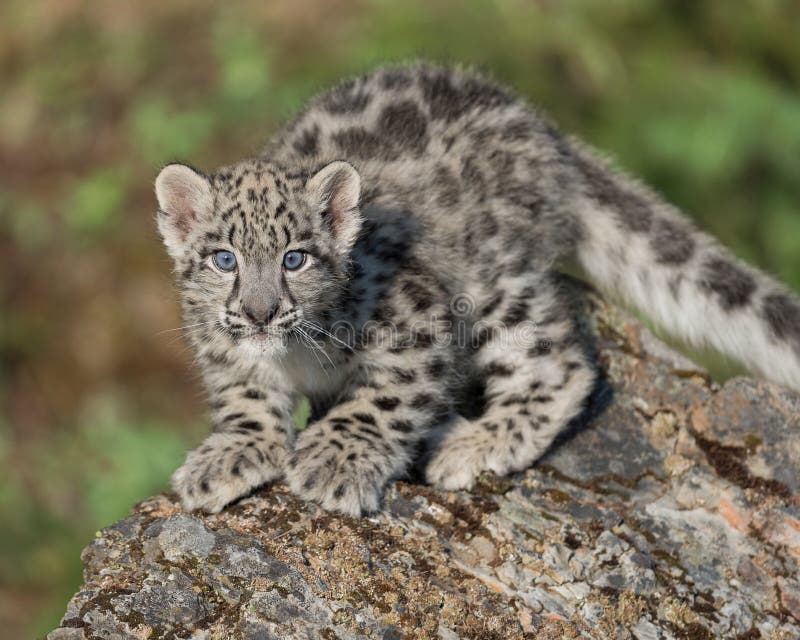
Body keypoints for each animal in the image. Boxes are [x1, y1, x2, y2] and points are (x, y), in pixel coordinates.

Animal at [154, 62, 800, 516]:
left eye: (295, 258)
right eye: (223, 259)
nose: (260, 313)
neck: (294, 357)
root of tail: (539, 124)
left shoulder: (415, 326)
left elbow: (385, 399)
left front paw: (335, 460)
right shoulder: (221, 349)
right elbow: (244, 397)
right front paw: (231, 454)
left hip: (494, 284)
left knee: (562, 367)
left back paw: (467, 446)